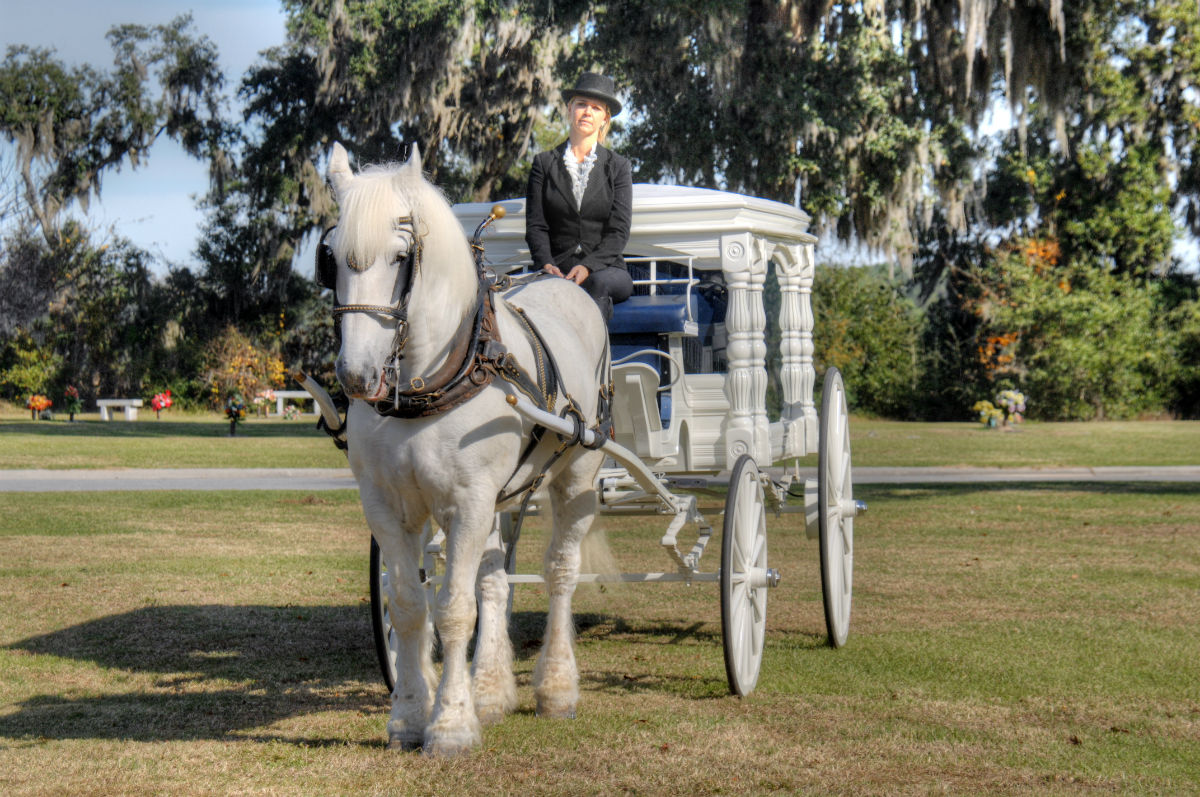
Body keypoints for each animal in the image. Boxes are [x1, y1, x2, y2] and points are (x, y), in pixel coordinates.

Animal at [322, 142, 609, 755]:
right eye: (330, 258)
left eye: (401, 256)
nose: (357, 375)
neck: (430, 382)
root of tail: (562, 280)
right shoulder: (386, 505)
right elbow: (411, 606)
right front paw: (409, 715)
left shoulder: (469, 501)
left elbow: (454, 608)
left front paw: (451, 723)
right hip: (502, 496)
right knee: (496, 578)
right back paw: (493, 691)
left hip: (577, 476)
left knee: (559, 572)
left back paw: (556, 687)